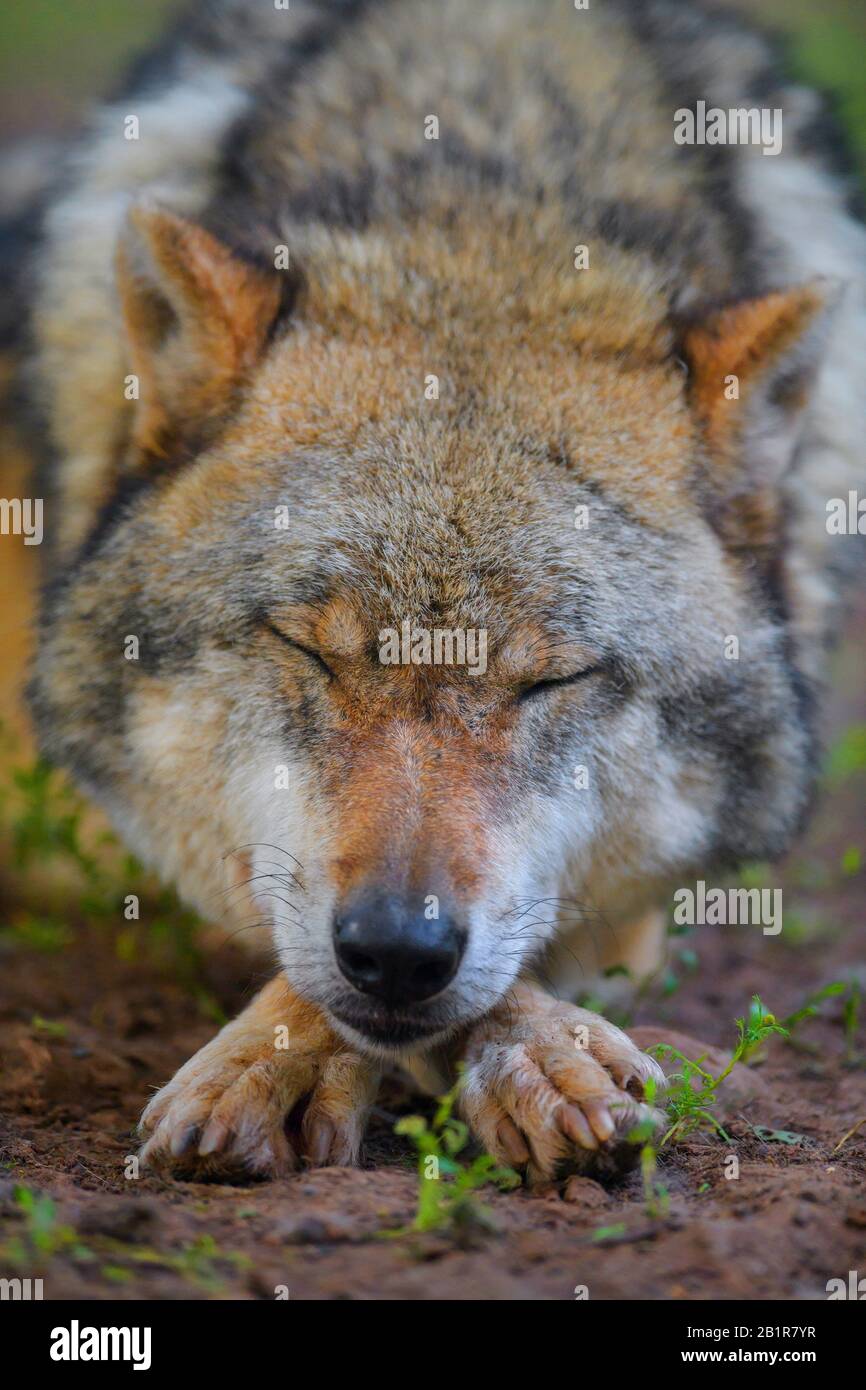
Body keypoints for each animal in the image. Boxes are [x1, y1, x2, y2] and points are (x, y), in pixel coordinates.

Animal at [20, 0, 866, 1184]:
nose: (395, 949)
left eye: (550, 681)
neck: (480, 185)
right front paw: (275, 1065)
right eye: (309, 649)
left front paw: (533, 1054)